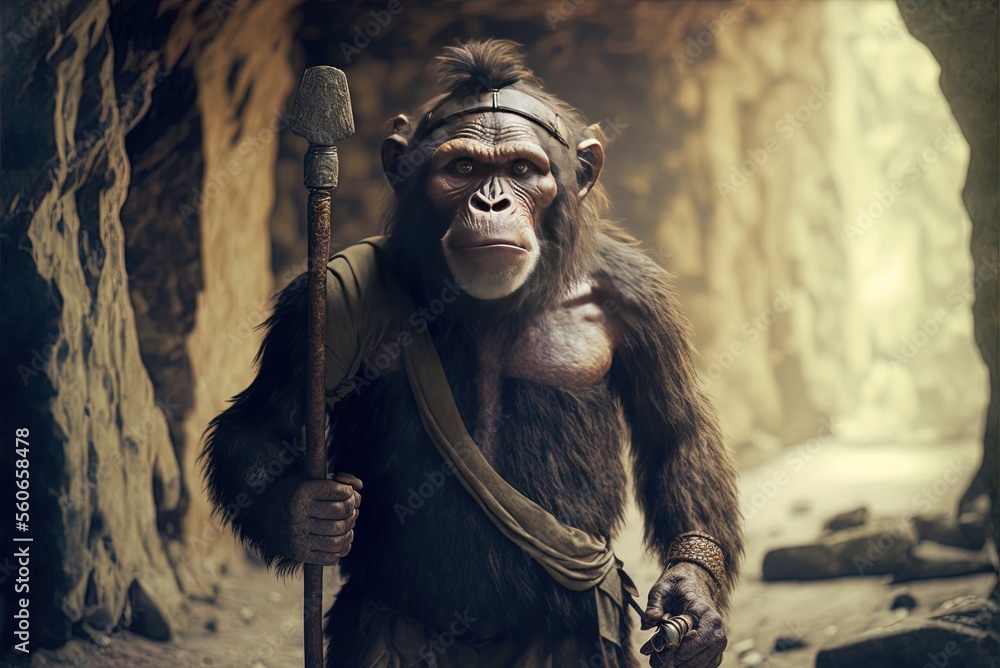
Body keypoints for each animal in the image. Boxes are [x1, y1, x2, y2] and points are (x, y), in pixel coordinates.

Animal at [202, 39, 743, 668]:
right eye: (462, 169)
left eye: (522, 169)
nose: (492, 201)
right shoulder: (317, 301)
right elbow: (260, 419)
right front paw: (306, 514)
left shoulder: (641, 300)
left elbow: (674, 429)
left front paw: (690, 596)